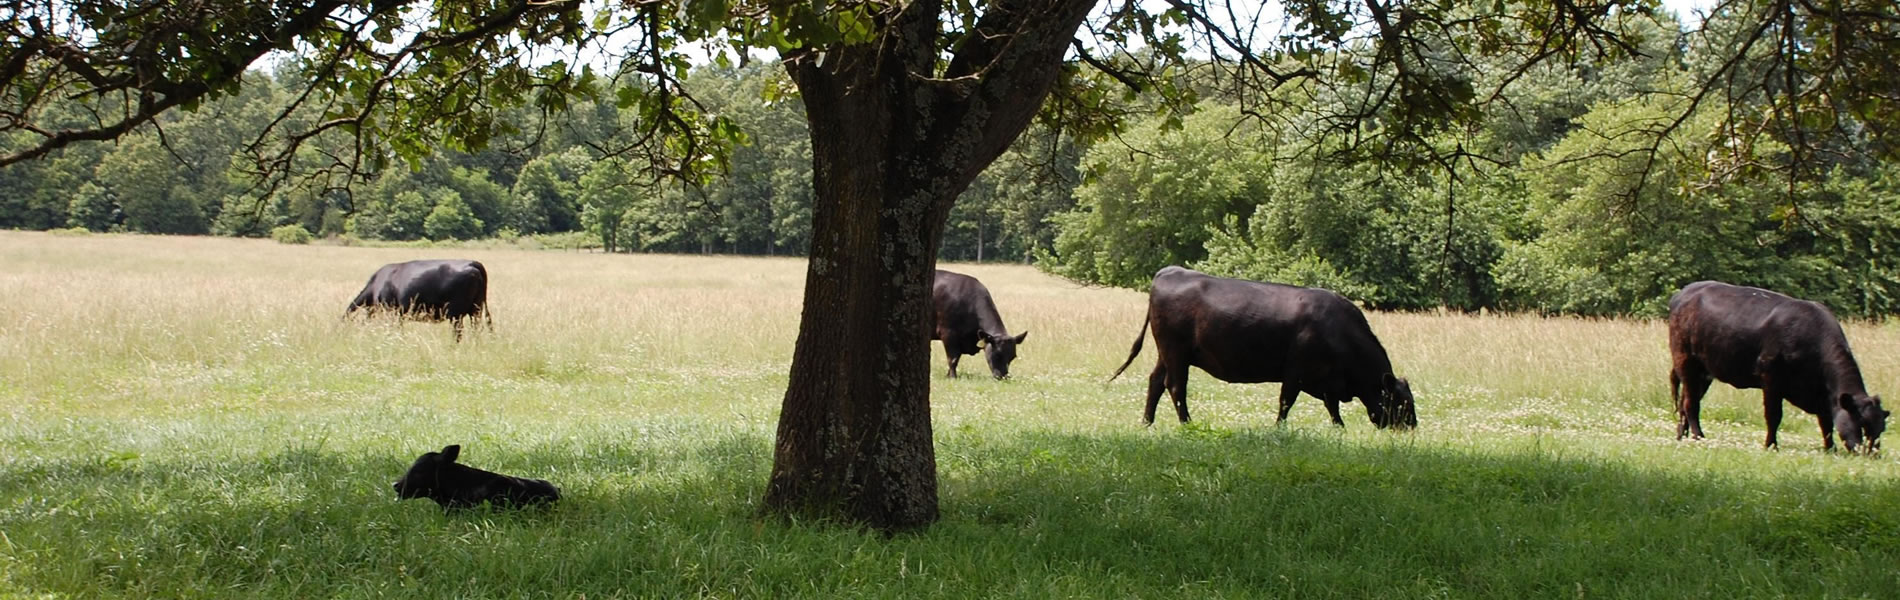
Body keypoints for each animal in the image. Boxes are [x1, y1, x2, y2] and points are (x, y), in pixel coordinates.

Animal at [346, 259, 491, 341]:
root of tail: (472, 263)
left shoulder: (391, 312)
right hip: (476, 310)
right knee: (475, 329)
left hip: (455, 312)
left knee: (458, 332)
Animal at [1109, 266, 1416, 429]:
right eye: (1402, 403)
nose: (1412, 427)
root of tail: (1172, 271)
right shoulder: (1296, 372)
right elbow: (1286, 402)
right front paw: (1279, 428)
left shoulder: (1327, 379)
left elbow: (1331, 407)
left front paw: (1339, 428)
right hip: (1176, 352)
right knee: (1175, 386)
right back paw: (1187, 423)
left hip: (1167, 353)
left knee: (1155, 382)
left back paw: (1147, 422)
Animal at [1668, 280, 1889, 452]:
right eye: (1861, 424)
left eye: (1881, 428)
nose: (1873, 455)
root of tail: (1684, 292)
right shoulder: (1771, 378)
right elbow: (1774, 415)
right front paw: (1771, 446)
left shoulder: (1822, 395)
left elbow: (1826, 422)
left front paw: (1830, 449)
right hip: (1686, 361)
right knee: (1690, 403)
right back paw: (1698, 436)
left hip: (1704, 371)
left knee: (1686, 401)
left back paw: (1682, 436)